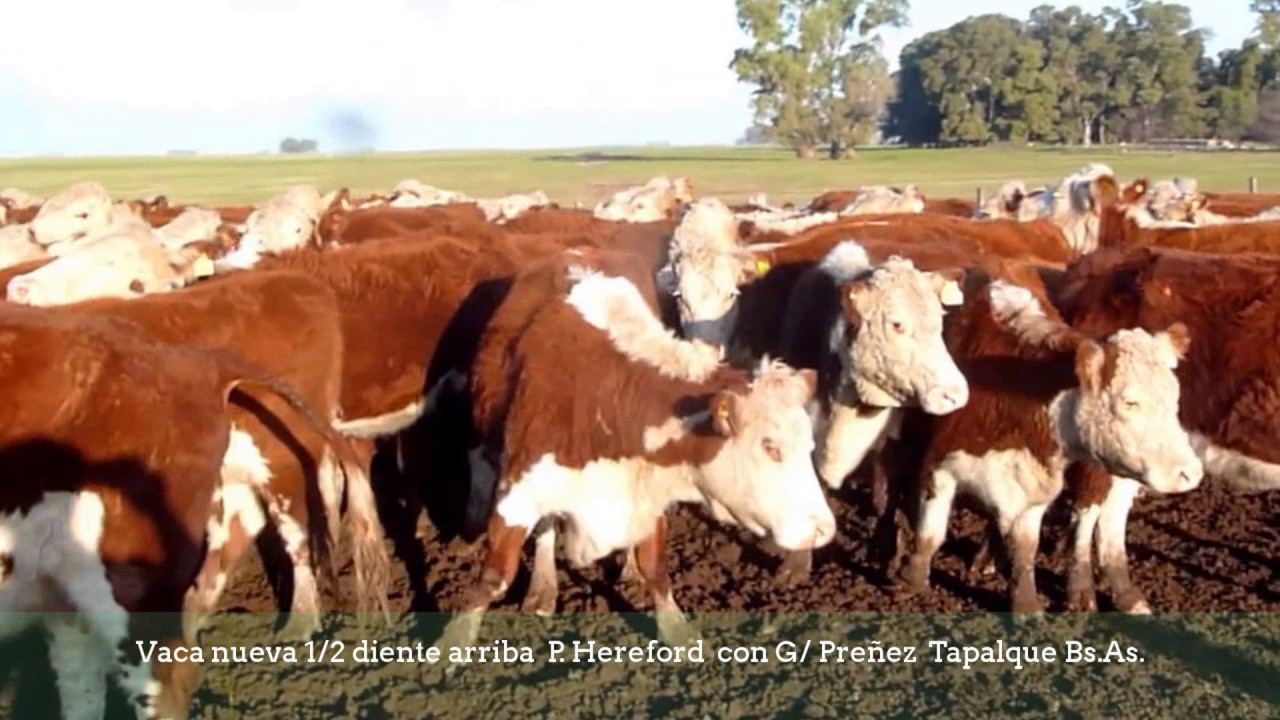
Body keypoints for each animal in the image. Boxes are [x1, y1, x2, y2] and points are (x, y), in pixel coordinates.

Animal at [435, 255, 833, 653]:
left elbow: (655, 566)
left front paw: (675, 628)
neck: (608, 398)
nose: (824, 530)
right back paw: (543, 585)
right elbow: (494, 577)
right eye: (770, 447)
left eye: (809, 446)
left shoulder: (649, 488)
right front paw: (451, 643)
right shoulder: (519, 488)